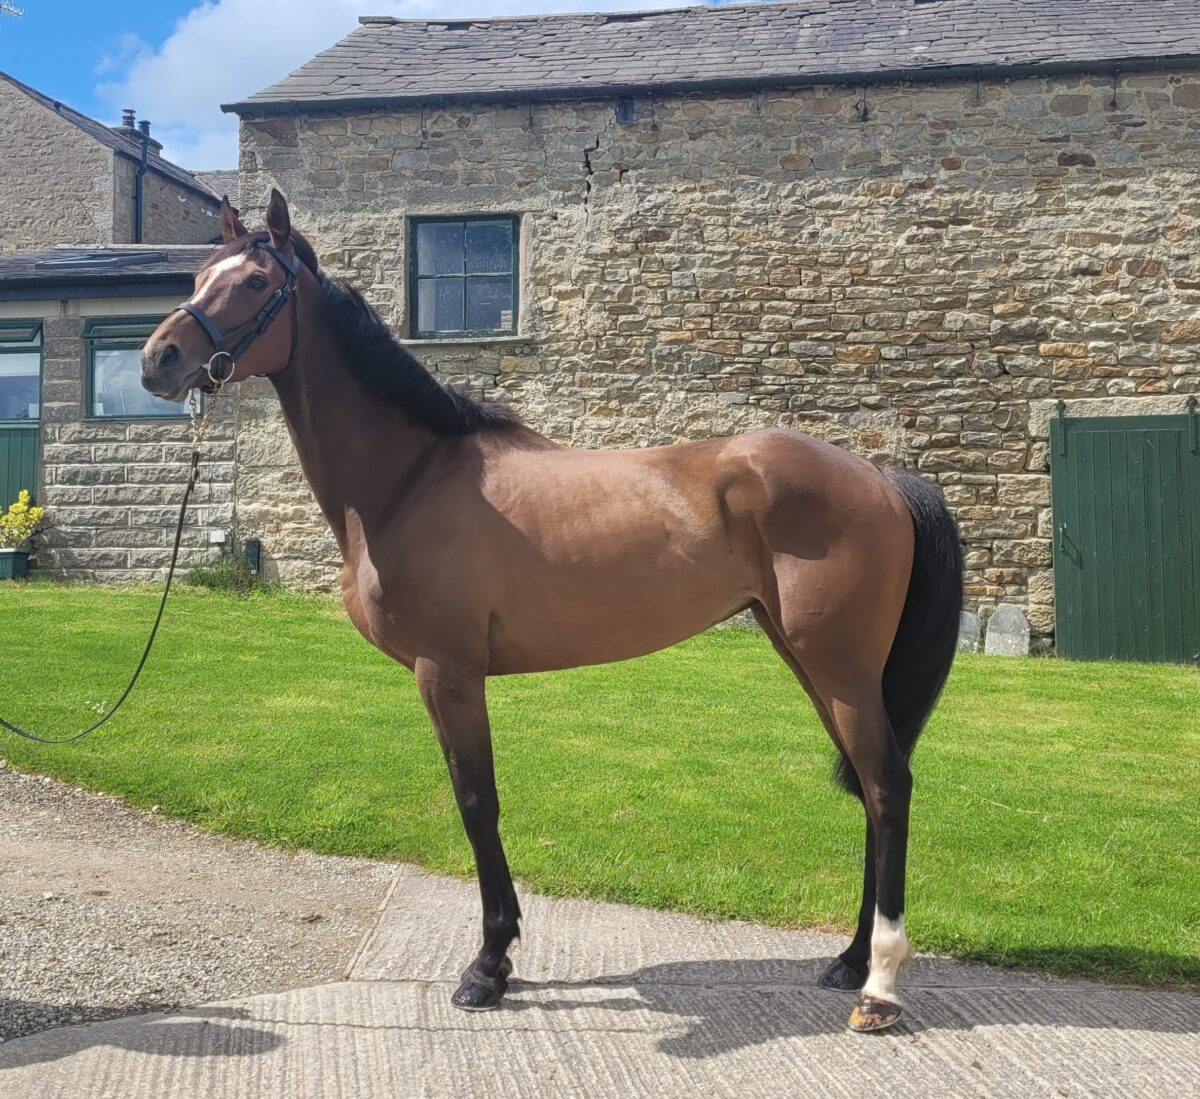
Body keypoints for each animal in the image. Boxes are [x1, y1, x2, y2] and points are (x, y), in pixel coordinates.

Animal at [141, 191, 963, 1033]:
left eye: (253, 283)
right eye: (201, 275)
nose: (158, 359)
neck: (411, 477)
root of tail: (881, 476)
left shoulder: (448, 672)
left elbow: (477, 802)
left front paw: (488, 964)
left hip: (840, 666)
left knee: (887, 787)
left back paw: (880, 985)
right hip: (814, 662)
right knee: (870, 789)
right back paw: (849, 958)